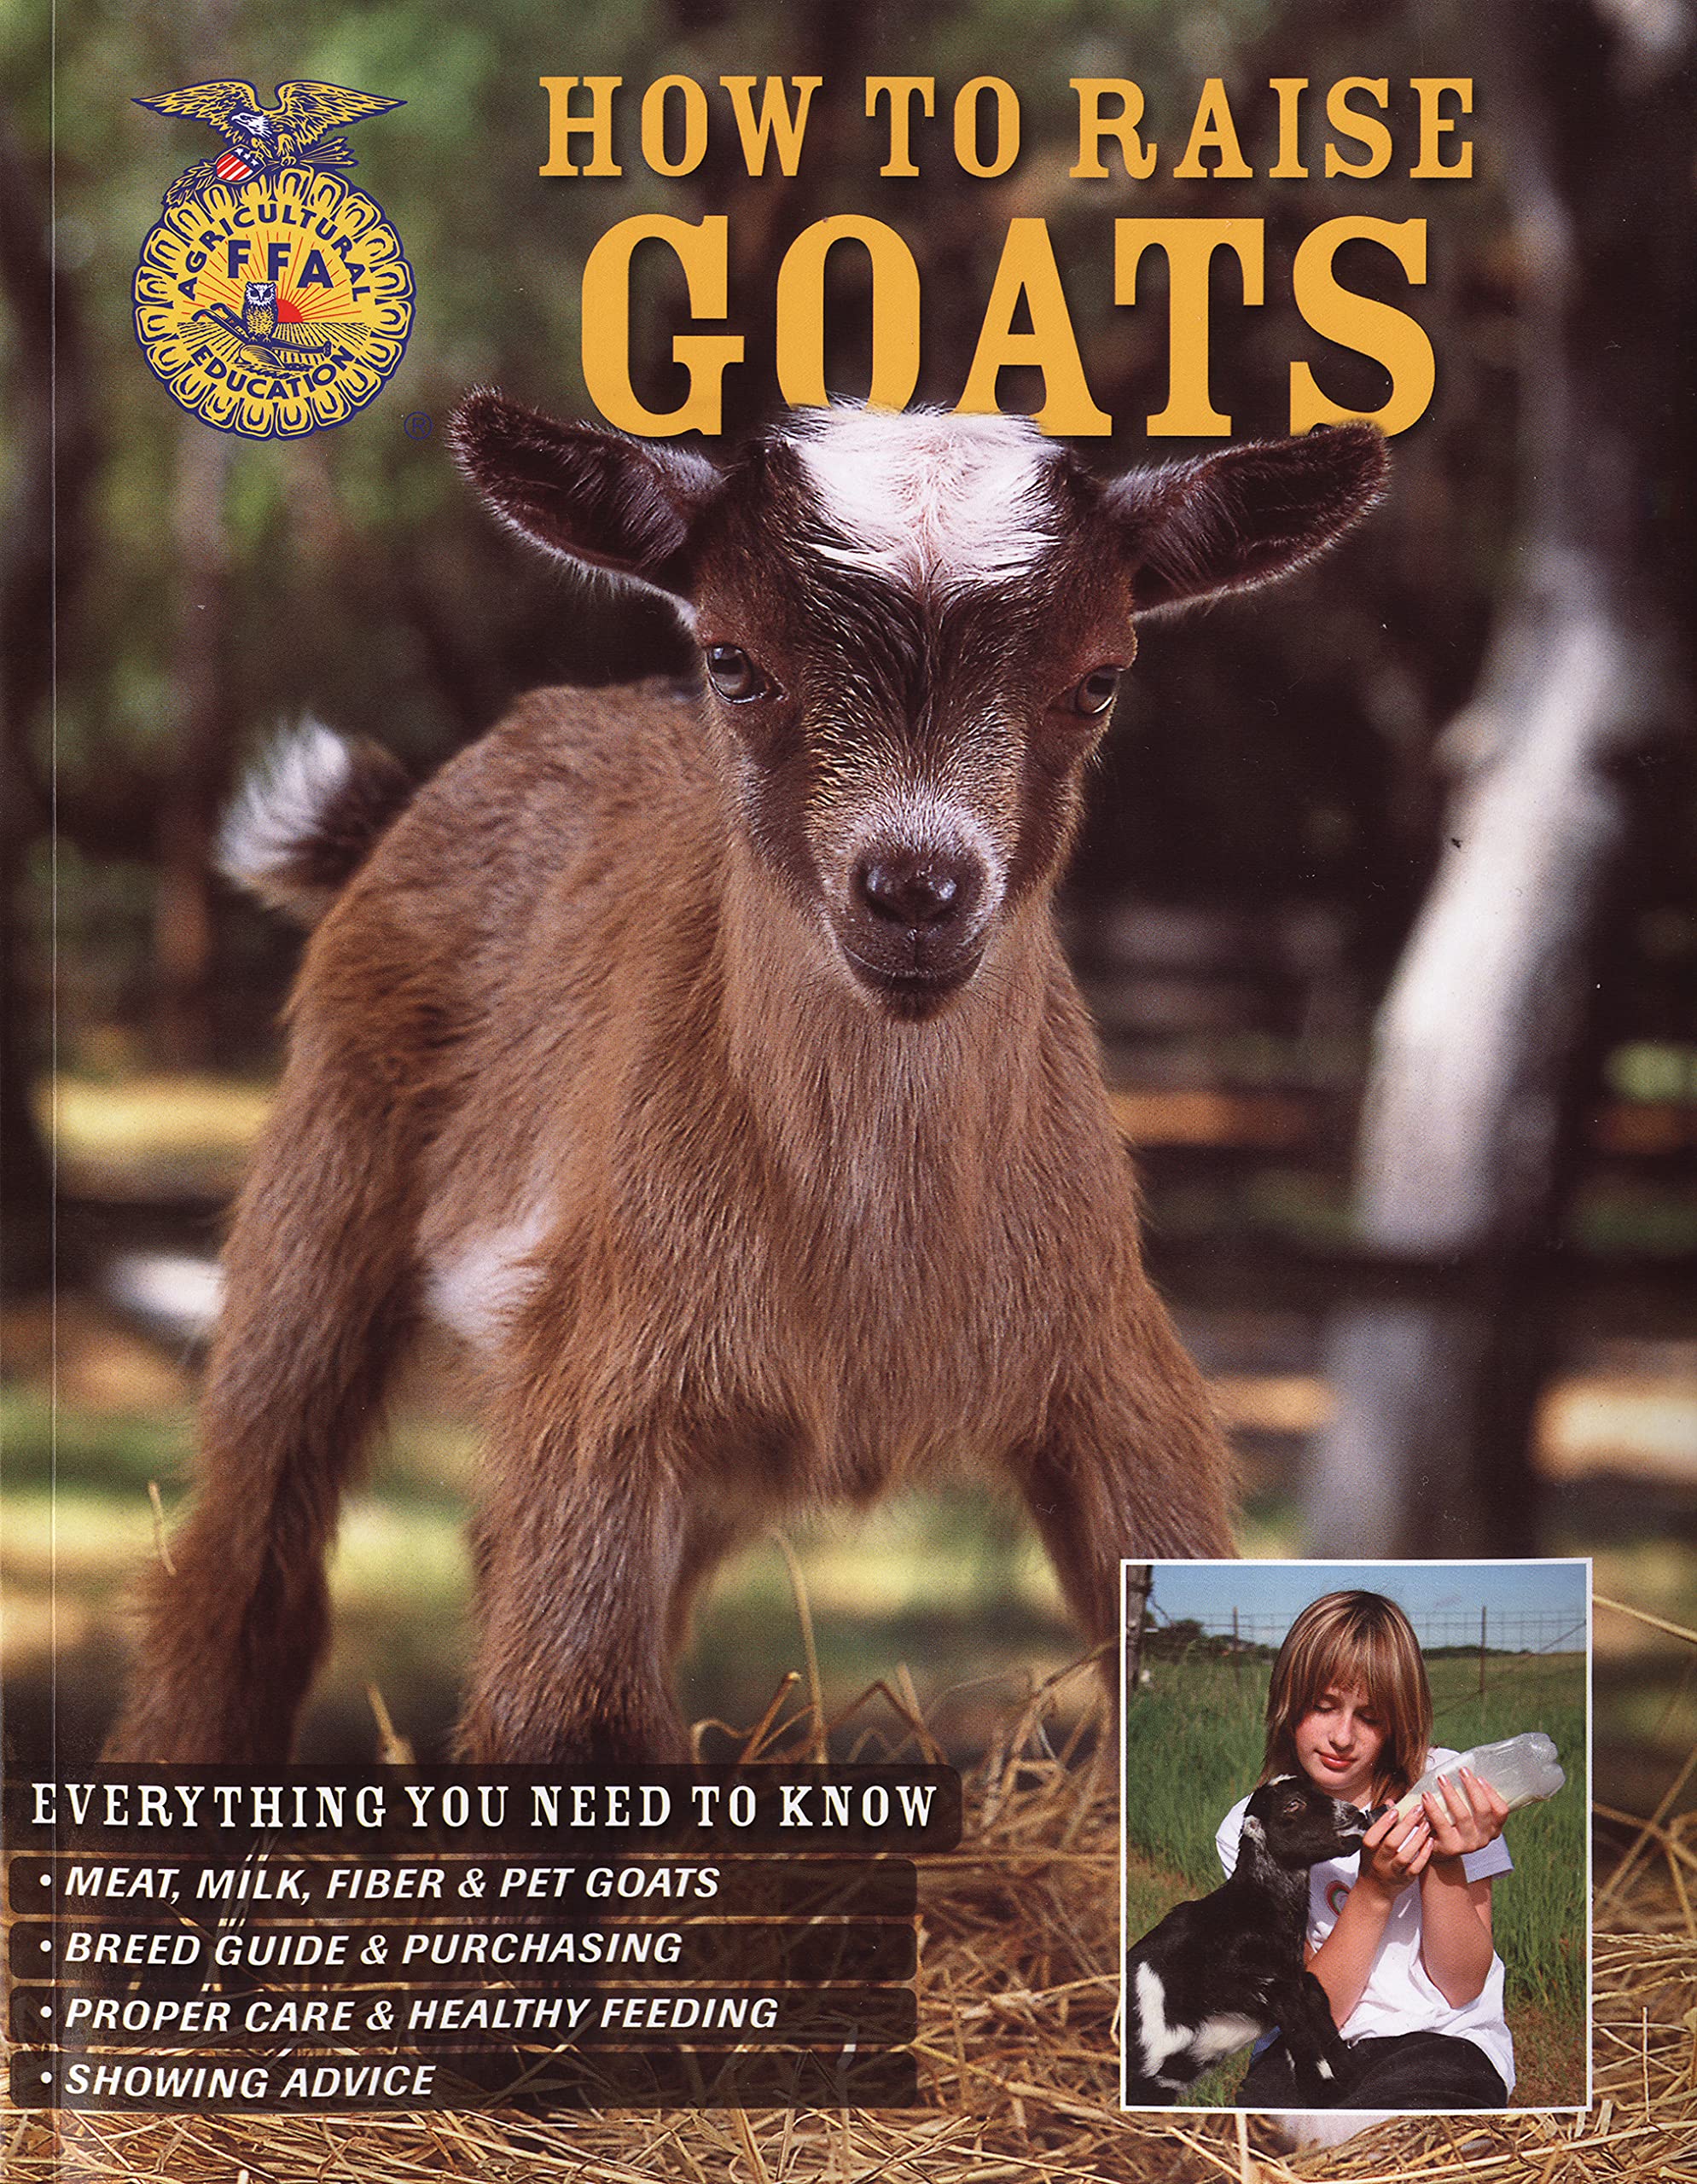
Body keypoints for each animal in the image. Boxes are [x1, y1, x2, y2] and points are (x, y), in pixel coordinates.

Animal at [108, 397, 1386, 1768]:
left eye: (1098, 679)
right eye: (735, 662)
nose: (917, 892)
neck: (873, 1294)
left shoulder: (1114, 1375)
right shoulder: (610, 1379)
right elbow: (565, 1722)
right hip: (330, 1171)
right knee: (251, 1559)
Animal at [1123, 1777, 1369, 2104]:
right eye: (1293, 1804)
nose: (1355, 1813)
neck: (1251, 1909)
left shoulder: (1290, 1978)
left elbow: (1313, 1997)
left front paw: (1345, 2074)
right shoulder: (1253, 1985)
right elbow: (1296, 2022)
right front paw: (1324, 2088)